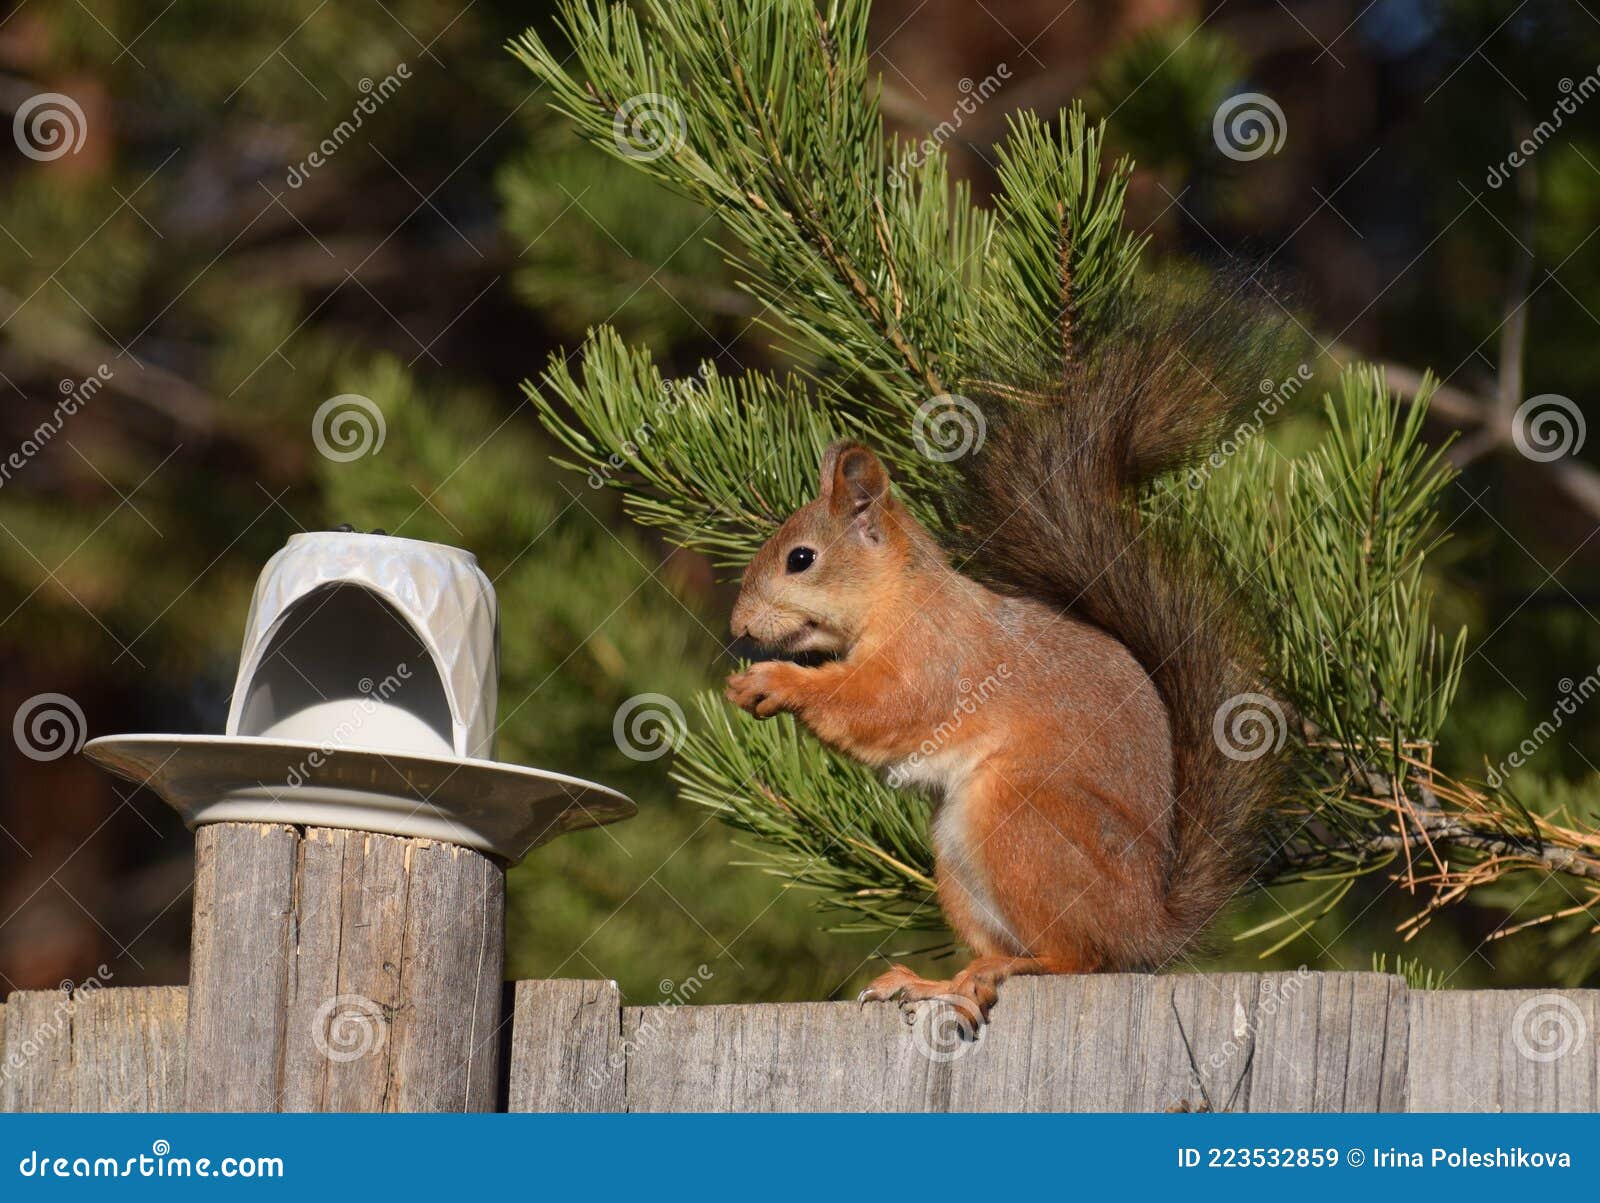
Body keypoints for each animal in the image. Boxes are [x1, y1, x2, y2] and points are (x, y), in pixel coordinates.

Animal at [725, 287, 1286, 1024]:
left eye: (800, 559)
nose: (736, 624)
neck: (903, 597)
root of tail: (1146, 925)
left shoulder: (938, 658)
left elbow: (881, 705)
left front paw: (776, 681)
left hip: (1020, 816)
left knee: (1080, 959)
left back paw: (1003, 972)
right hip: (957, 851)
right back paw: (934, 980)